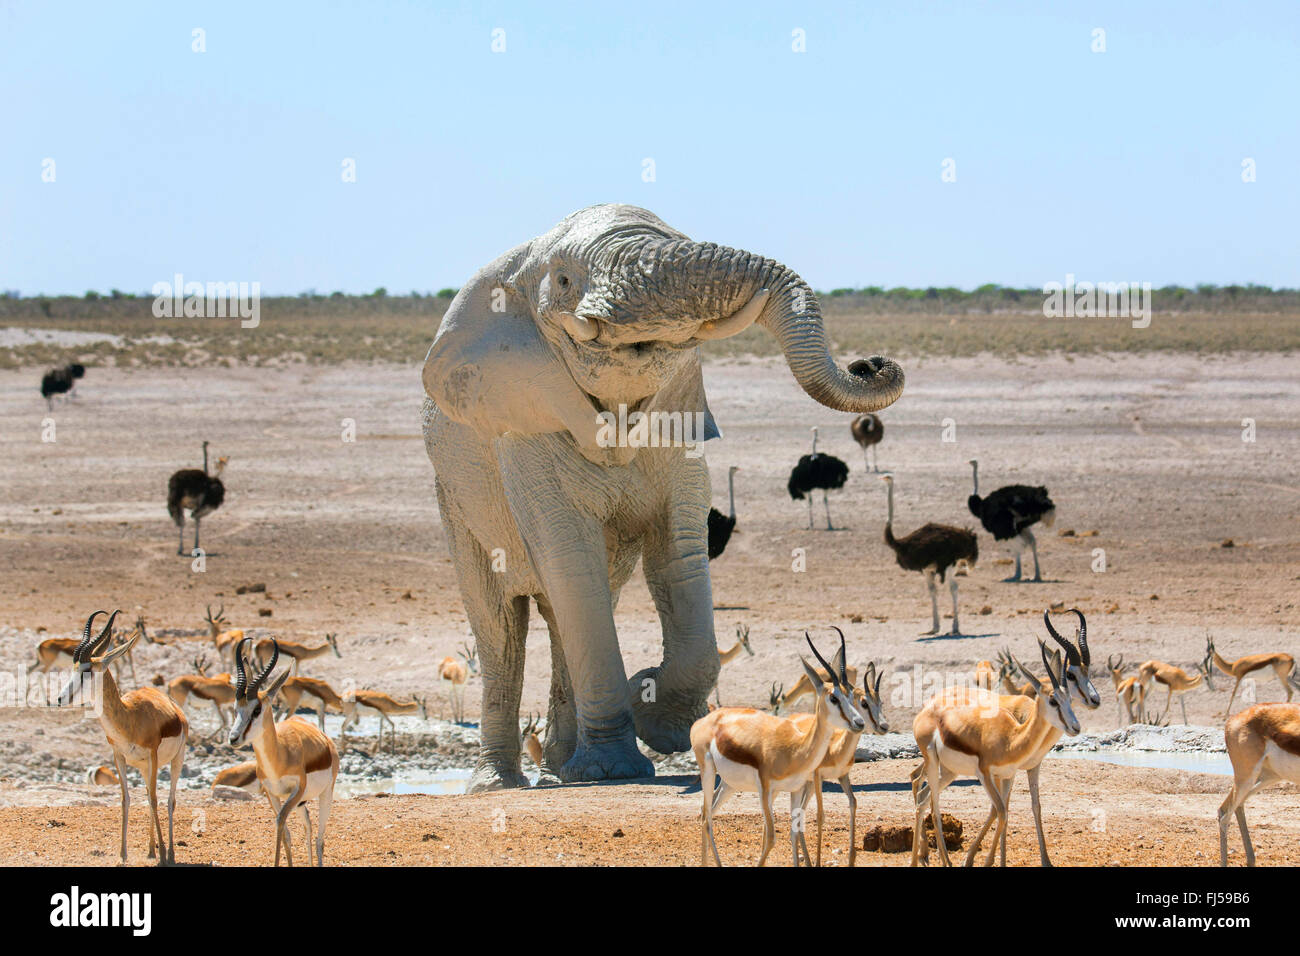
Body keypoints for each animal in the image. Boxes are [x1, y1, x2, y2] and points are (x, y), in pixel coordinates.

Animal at [420, 204, 904, 791]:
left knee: (569, 612)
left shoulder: (680, 420)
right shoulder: (524, 425)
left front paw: (654, 716)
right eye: (564, 281)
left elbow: (678, 554)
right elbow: (570, 562)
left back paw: (561, 766)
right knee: (502, 628)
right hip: (453, 499)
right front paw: (613, 768)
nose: (872, 363)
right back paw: (500, 783)